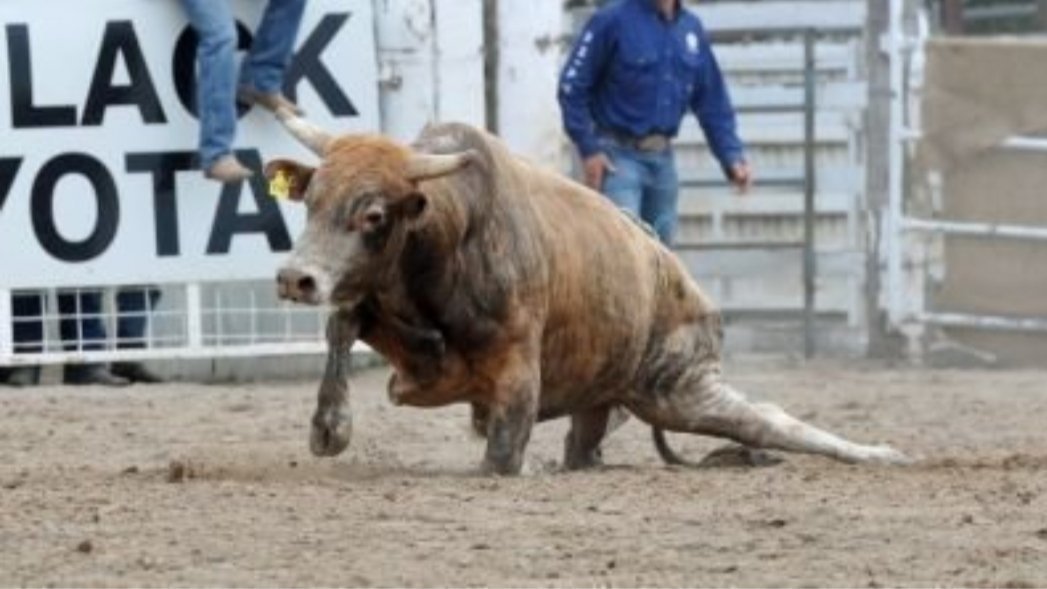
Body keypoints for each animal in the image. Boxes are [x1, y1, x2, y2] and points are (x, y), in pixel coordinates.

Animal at [267, 111, 909, 475]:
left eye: (373, 214)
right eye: (311, 200)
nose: (296, 277)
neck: (448, 237)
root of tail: (684, 284)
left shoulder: (517, 375)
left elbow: (501, 457)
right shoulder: (400, 332)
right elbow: (343, 323)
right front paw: (328, 428)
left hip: (679, 389)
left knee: (767, 420)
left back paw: (877, 454)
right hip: (610, 399)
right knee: (587, 444)